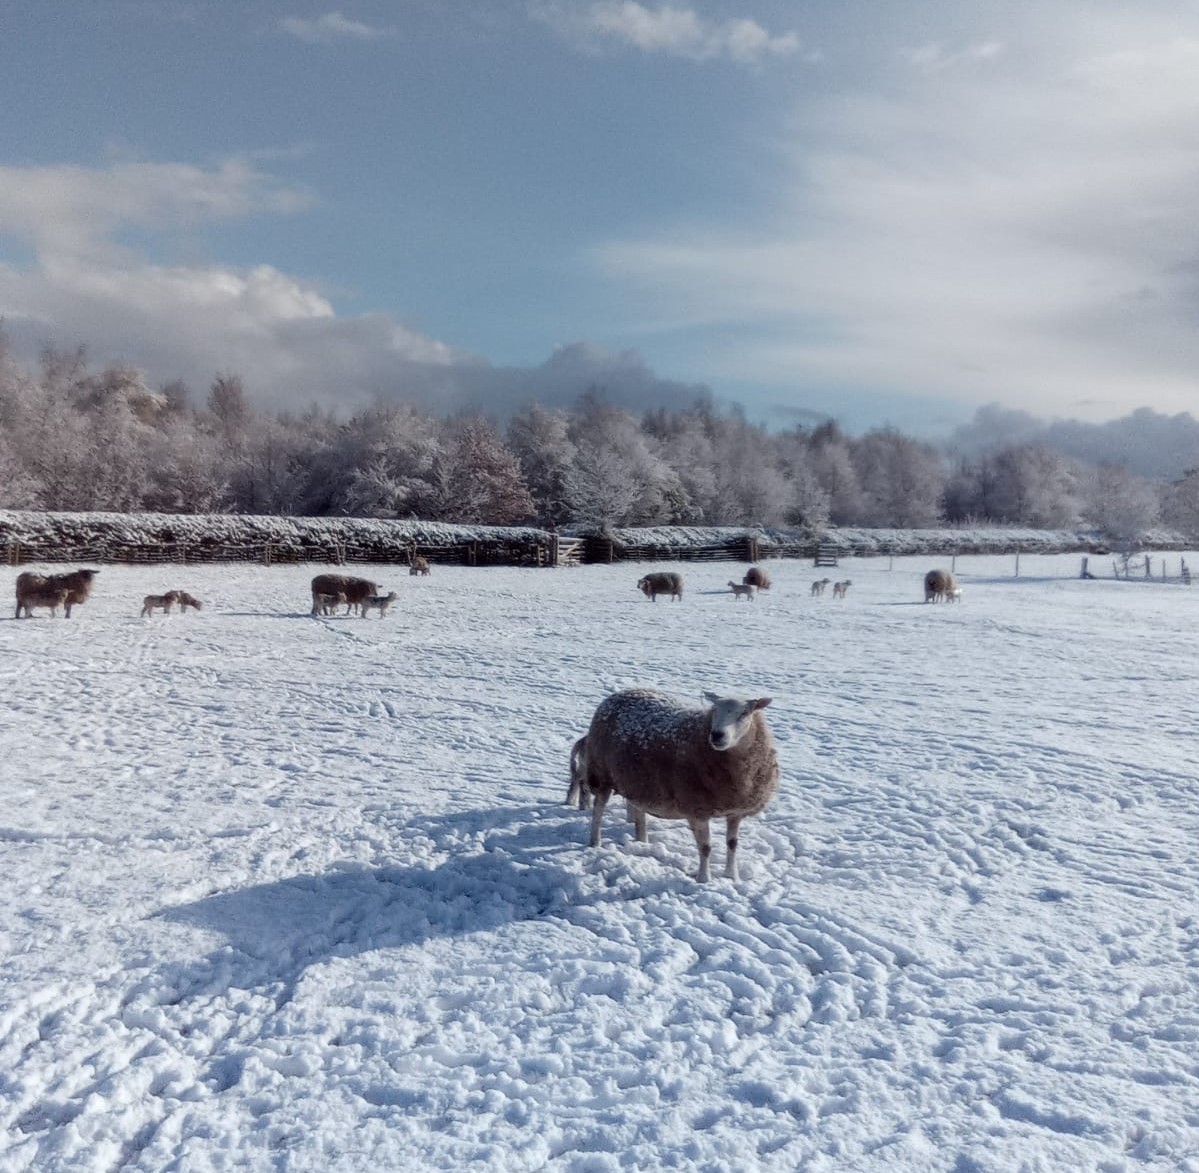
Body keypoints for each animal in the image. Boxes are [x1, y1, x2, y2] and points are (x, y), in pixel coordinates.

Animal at [584, 687, 778, 882]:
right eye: (714, 710)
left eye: (745, 713)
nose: (717, 735)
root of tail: (623, 692)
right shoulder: (697, 809)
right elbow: (705, 847)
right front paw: (704, 879)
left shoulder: (736, 812)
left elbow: (732, 844)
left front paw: (732, 876)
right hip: (601, 772)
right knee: (598, 810)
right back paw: (595, 841)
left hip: (637, 781)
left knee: (638, 810)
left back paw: (642, 841)